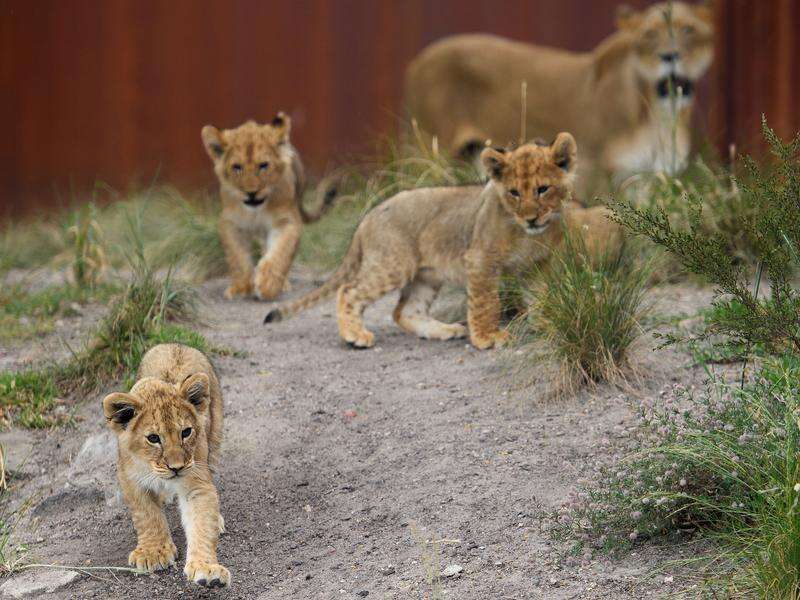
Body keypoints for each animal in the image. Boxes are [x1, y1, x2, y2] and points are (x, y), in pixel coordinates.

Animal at [102, 344, 230, 588]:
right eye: (153, 438)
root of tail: (175, 344)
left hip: (215, 432)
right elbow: (147, 515)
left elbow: (201, 522)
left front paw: (206, 569)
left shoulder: (196, 480)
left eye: (186, 432)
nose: (176, 467)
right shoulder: (129, 478)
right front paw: (153, 552)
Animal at [201, 114, 337, 300]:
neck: (255, 211)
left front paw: (268, 284)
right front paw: (241, 288)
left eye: (263, 165)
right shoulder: (230, 223)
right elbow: (237, 258)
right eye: (237, 167)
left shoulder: (286, 221)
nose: (251, 193)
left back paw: (282, 283)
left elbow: (280, 252)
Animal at [264, 134, 618, 349]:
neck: (528, 234)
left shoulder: (536, 266)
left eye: (543, 189)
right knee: (349, 291)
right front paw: (487, 337)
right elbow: (486, 302)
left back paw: (445, 331)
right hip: (393, 264)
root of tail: (371, 214)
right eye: (514, 192)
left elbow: (542, 296)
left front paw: (547, 325)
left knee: (404, 311)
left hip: (426, 275)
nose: (531, 218)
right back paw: (355, 336)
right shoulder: (481, 259)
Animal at [405, 2, 714, 192]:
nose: (670, 56)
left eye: (688, 29)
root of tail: (418, 59)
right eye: (650, 34)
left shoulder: (645, 176)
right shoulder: (591, 169)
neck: (660, 114)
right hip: (426, 153)